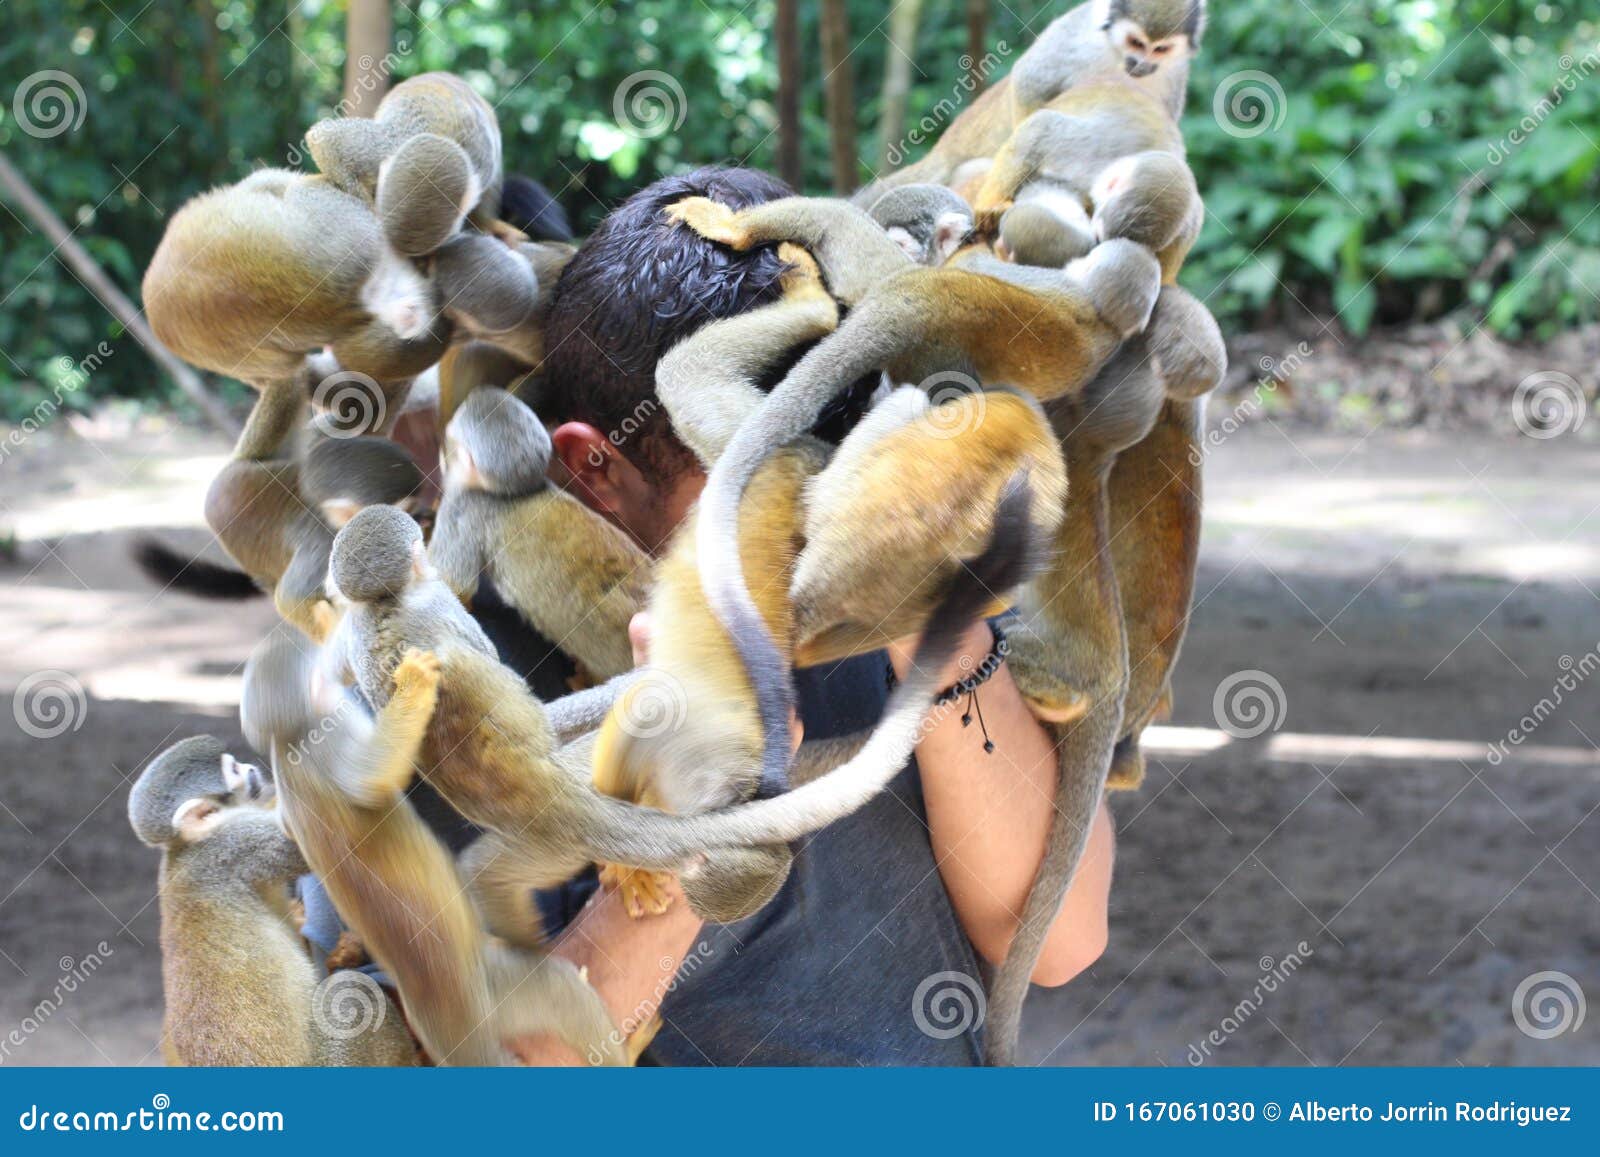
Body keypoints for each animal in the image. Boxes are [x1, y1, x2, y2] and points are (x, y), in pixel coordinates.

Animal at [128, 735, 417, 1067]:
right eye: (234, 771)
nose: (251, 769)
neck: (184, 845)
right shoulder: (234, 844)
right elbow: (316, 841)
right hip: (330, 1061)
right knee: (354, 994)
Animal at [239, 632, 626, 1065]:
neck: (286, 740)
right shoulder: (324, 736)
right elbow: (369, 781)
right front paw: (415, 682)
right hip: (494, 998)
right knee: (559, 989)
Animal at [317, 493, 1037, 936]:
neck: (385, 606)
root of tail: (544, 797)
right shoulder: (436, 603)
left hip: (544, 837)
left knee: (487, 876)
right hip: (583, 789)